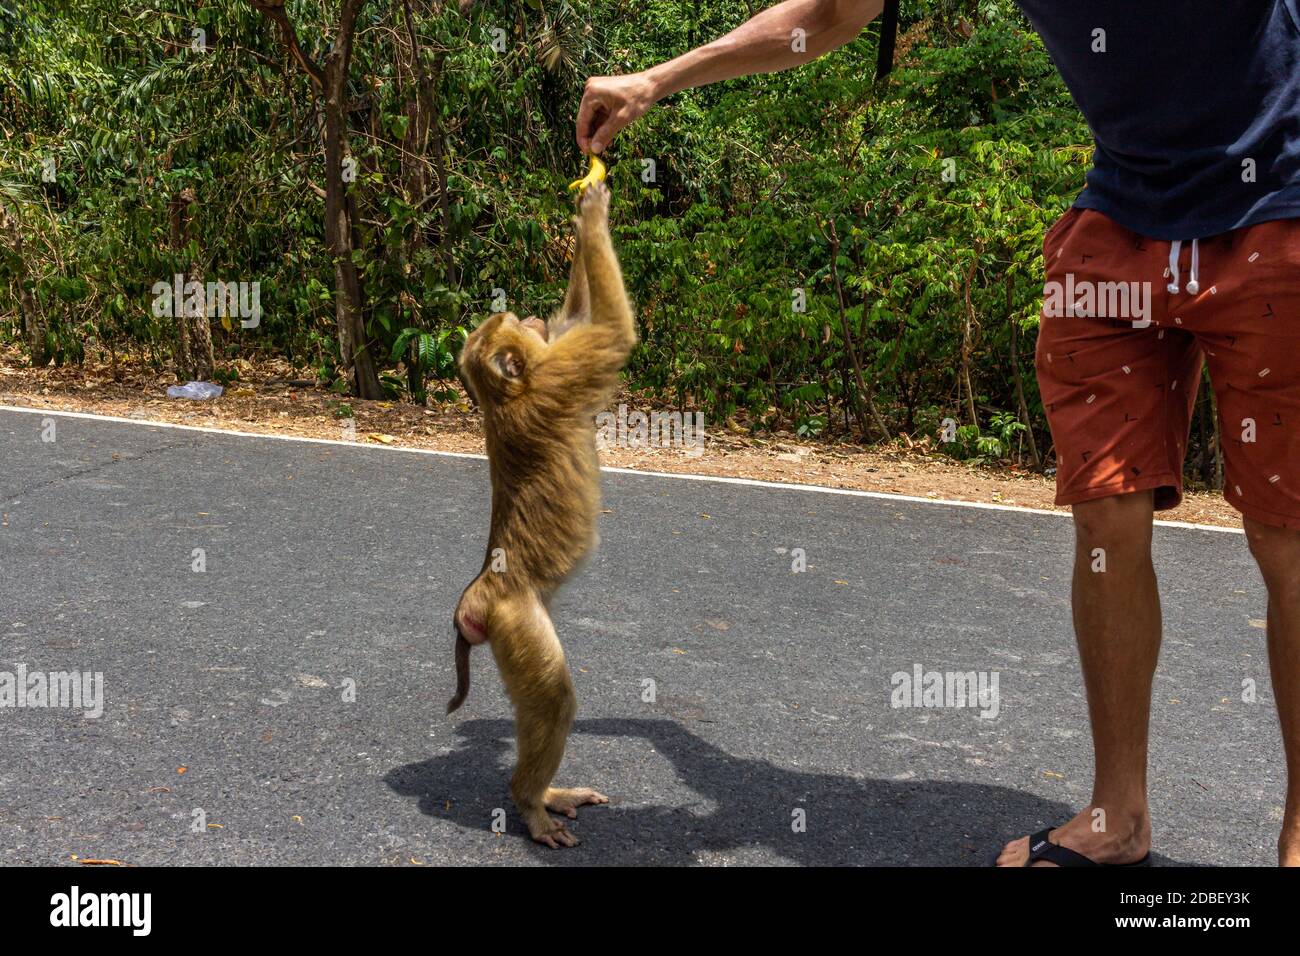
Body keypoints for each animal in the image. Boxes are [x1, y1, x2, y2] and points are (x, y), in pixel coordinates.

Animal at [448, 180, 635, 848]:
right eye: (508, 326)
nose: (524, 314)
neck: (508, 394)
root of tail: (477, 594)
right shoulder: (558, 375)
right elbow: (611, 330)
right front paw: (593, 212)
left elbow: (579, 318)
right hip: (517, 621)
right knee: (553, 698)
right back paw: (528, 802)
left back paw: (546, 795)